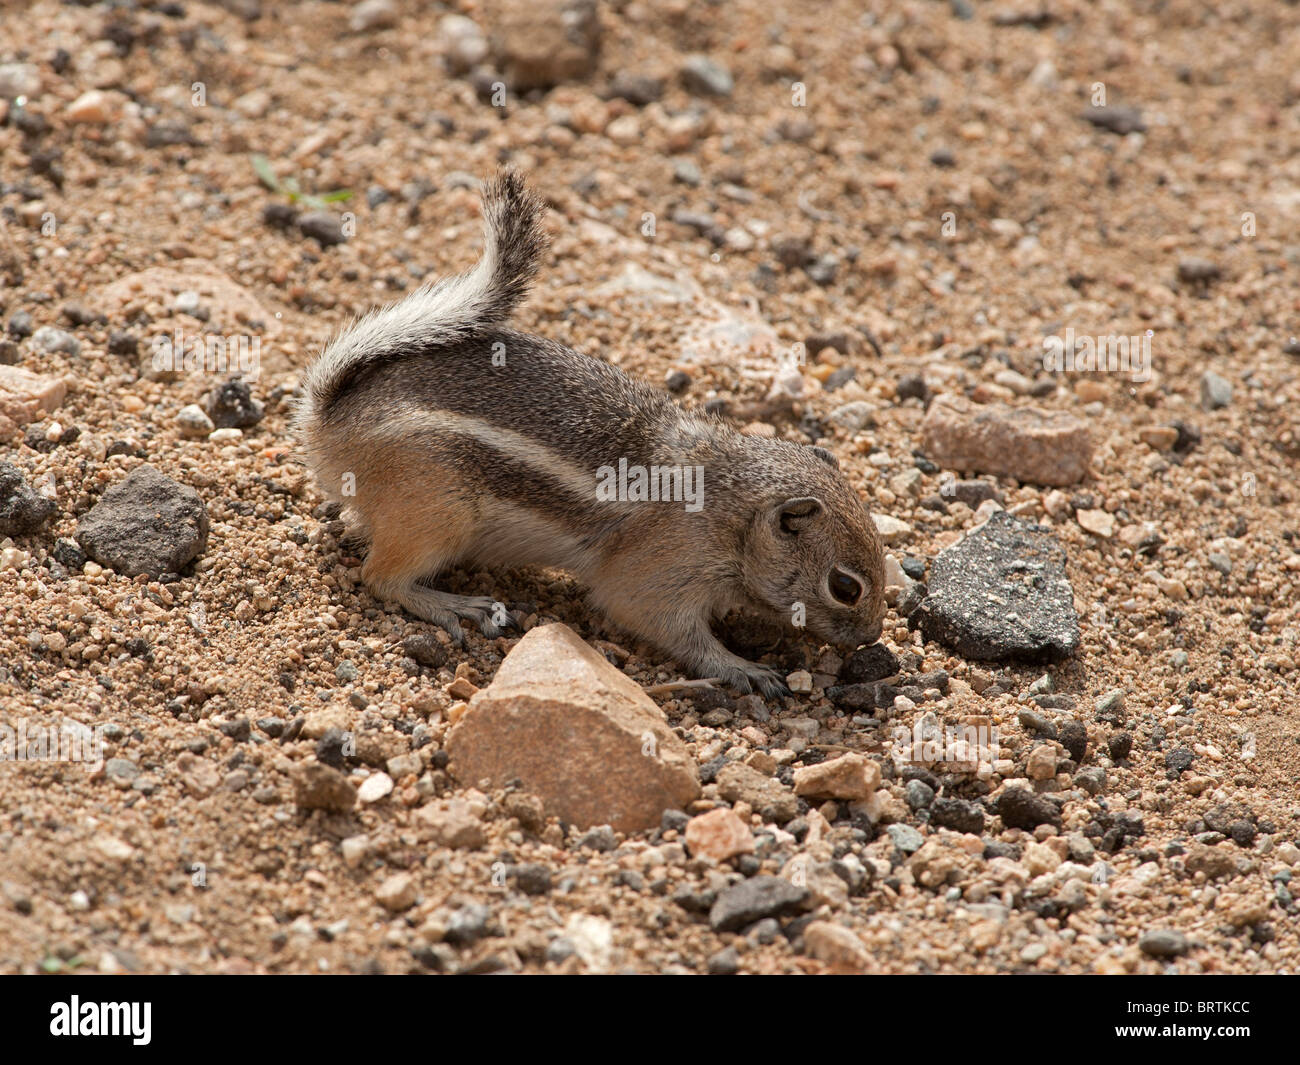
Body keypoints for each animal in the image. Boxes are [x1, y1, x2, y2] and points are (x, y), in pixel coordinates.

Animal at [296, 170, 887, 697]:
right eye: (845, 587)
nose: (872, 637)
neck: (734, 513)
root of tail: (328, 419)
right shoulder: (659, 577)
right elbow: (670, 628)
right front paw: (744, 668)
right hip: (434, 515)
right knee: (381, 577)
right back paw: (457, 605)